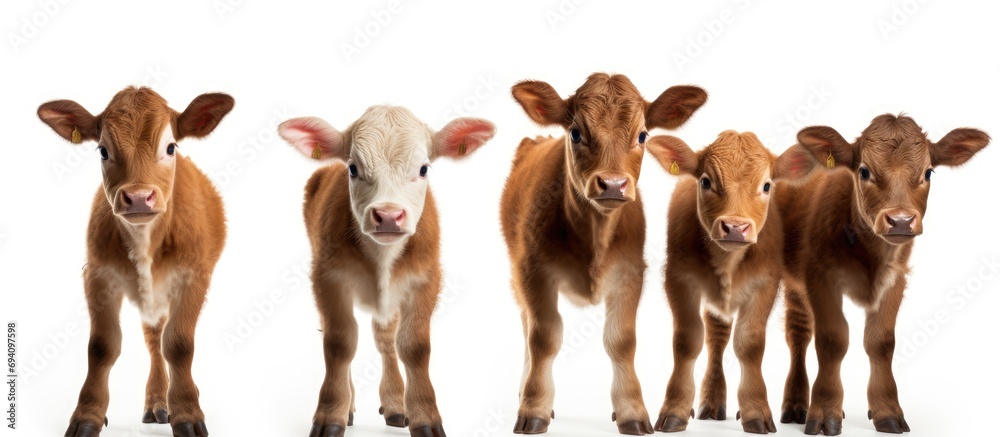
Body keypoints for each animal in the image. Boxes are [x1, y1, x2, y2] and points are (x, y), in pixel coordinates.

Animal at [37, 87, 234, 437]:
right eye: (103, 151)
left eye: (170, 147)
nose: (139, 197)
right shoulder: (98, 275)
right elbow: (101, 346)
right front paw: (88, 416)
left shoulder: (194, 277)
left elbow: (180, 345)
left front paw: (187, 412)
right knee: (153, 338)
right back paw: (157, 402)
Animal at [277, 106, 495, 437]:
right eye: (353, 169)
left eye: (423, 169)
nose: (389, 215)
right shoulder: (327, 279)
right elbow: (339, 343)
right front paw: (331, 414)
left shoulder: (426, 280)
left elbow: (413, 346)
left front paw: (424, 416)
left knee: (386, 340)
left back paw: (395, 404)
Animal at [501, 73, 708, 435]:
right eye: (575, 133)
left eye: (642, 135)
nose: (612, 184)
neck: (594, 238)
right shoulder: (533, 271)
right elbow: (543, 337)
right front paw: (534, 408)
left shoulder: (630, 272)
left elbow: (621, 341)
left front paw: (631, 411)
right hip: (515, 273)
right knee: (527, 326)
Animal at [644, 131, 811, 434]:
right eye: (705, 181)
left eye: (766, 185)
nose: (735, 227)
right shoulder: (677, 279)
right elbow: (687, 340)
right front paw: (675, 409)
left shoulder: (765, 284)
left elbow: (750, 344)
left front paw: (755, 411)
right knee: (716, 336)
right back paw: (711, 403)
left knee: (798, 331)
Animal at [773, 114, 989, 435]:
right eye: (864, 171)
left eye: (928, 172)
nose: (900, 220)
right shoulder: (820, 278)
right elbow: (832, 340)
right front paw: (824, 411)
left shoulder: (895, 280)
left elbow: (881, 342)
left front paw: (886, 410)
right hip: (791, 279)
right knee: (798, 334)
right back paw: (797, 405)